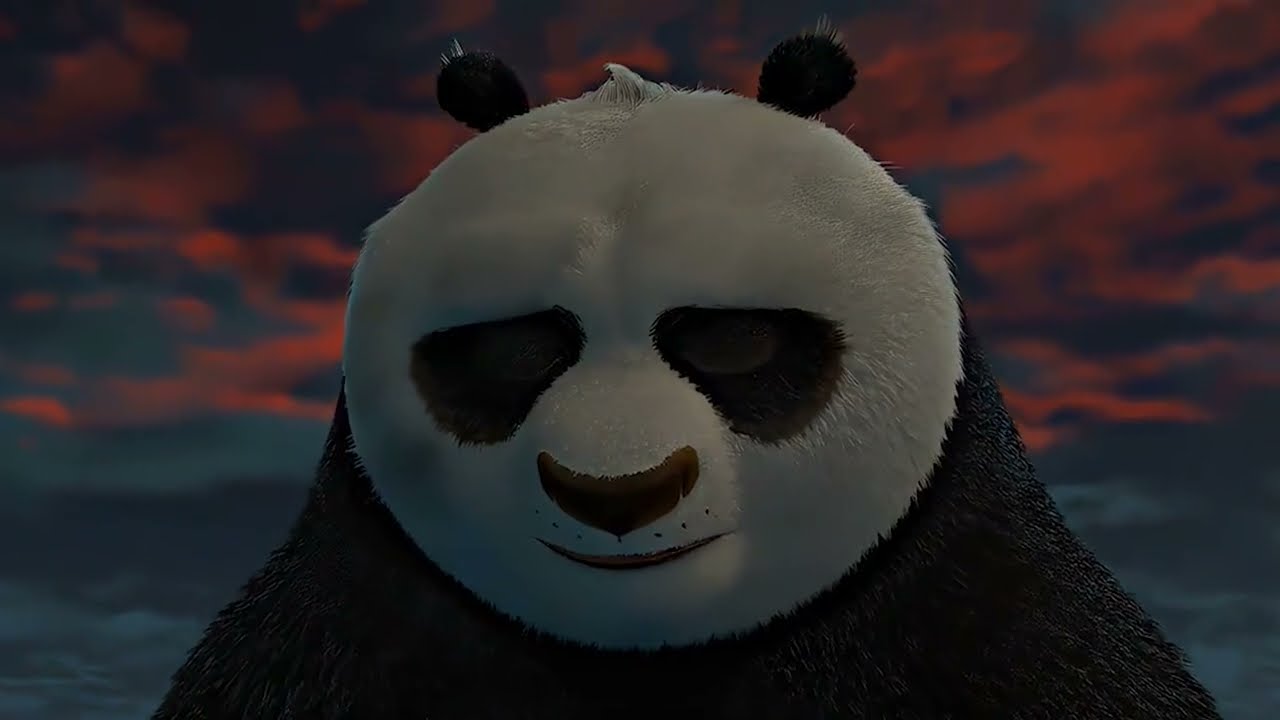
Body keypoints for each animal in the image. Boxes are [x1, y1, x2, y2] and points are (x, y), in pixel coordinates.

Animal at [153, 24, 1221, 720]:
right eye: (514, 348)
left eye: (735, 340)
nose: (616, 493)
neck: (653, 655)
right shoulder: (329, 637)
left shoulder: (1004, 625)